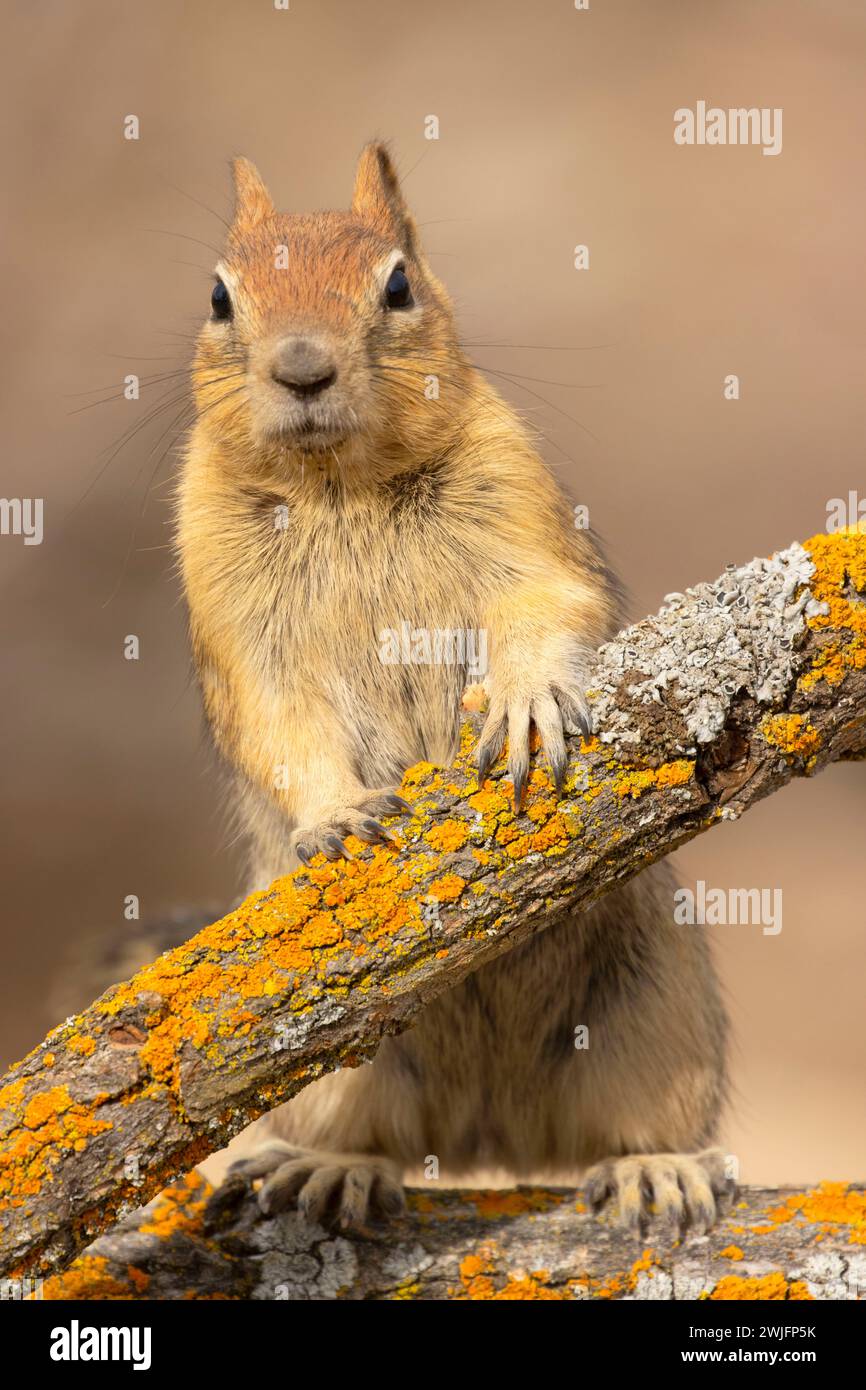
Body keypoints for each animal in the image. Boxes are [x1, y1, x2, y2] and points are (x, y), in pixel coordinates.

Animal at [177, 143, 731, 1234]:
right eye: (219, 296)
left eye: (398, 286)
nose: (301, 368)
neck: (334, 486)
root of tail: (486, 1133)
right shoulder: (227, 603)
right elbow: (274, 718)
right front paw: (336, 815)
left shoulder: (518, 507)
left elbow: (544, 606)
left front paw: (523, 703)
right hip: (338, 1075)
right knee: (367, 1133)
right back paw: (329, 1168)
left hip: (660, 1017)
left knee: (638, 1124)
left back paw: (658, 1170)